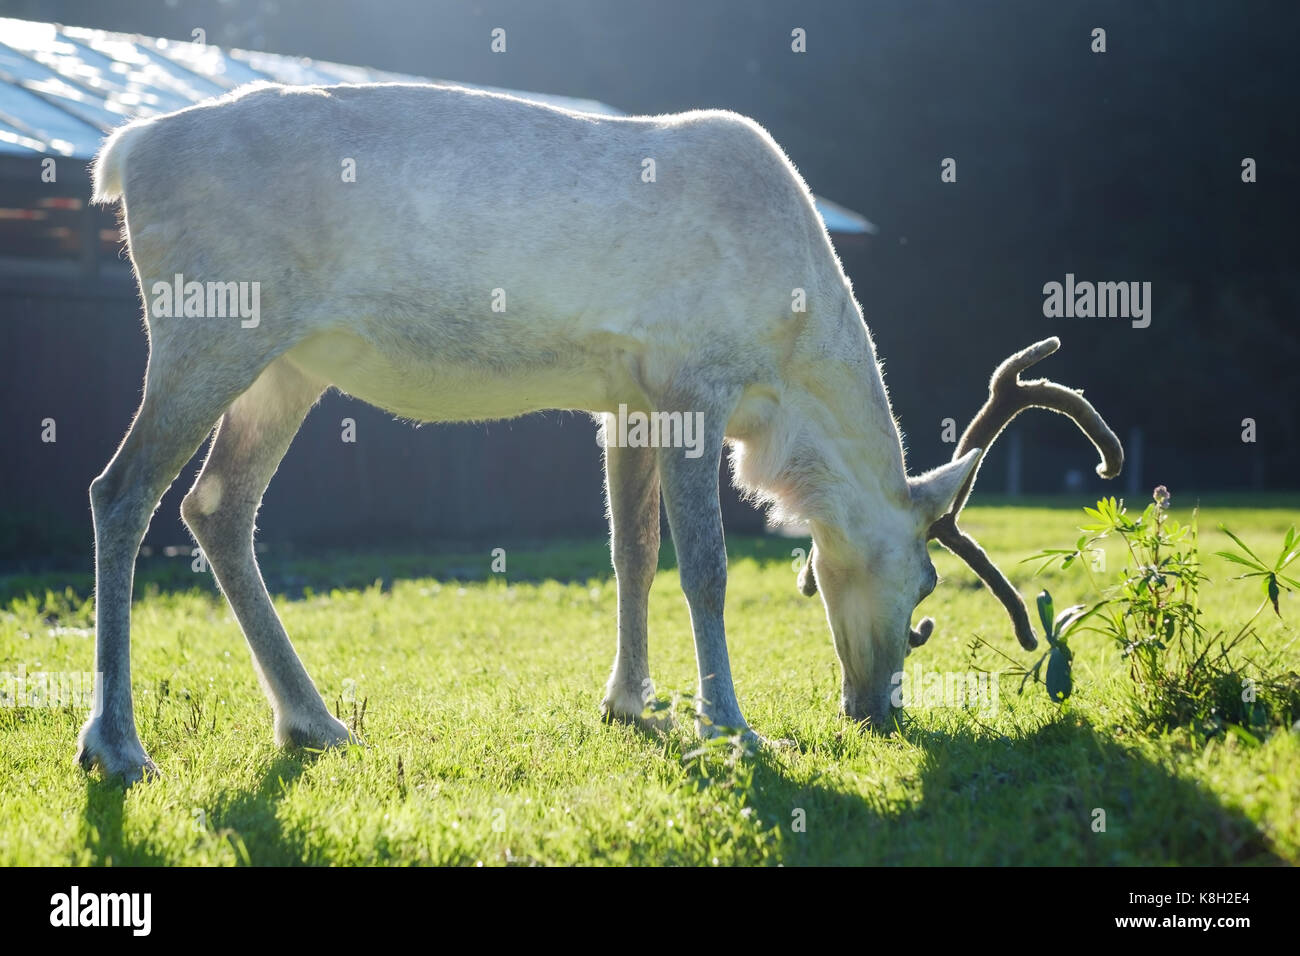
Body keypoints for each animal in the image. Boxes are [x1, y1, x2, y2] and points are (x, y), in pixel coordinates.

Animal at [79, 81, 1122, 781]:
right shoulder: (696, 379)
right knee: (119, 489)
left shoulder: (627, 396)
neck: (785, 372)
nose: (876, 714)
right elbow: (705, 566)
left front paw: (631, 703)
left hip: (288, 365)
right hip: (212, 329)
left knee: (217, 507)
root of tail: (125, 154)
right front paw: (732, 727)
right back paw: (118, 746)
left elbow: (632, 550)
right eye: (929, 586)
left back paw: (314, 722)